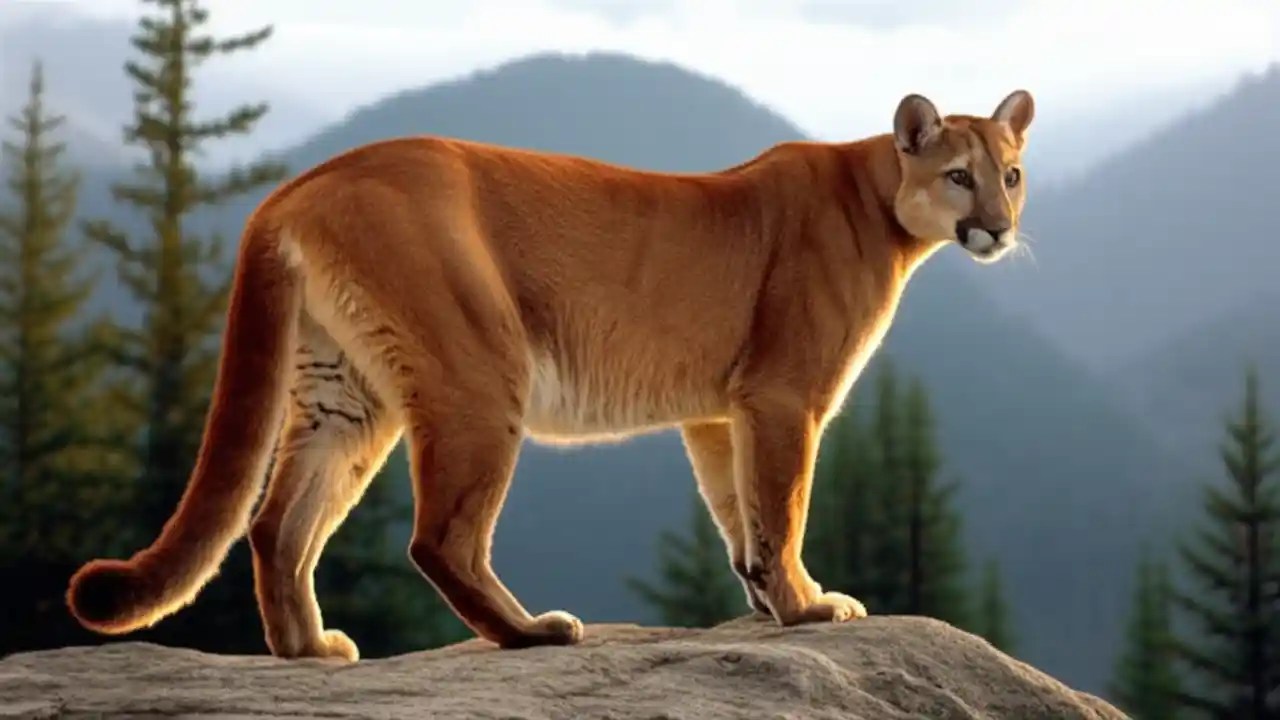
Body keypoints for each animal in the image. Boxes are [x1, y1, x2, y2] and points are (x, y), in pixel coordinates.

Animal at [66, 88, 1034, 660]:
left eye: (1014, 175)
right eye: (960, 176)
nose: (997, 226)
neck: (879, 202)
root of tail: (293, 187)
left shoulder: (720, 412)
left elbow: (741, 516)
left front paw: (769, 602)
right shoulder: (784, 399)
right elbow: (783, 507)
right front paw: (807, 607)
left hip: (346, 391)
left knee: (276, 524)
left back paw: (310, 650)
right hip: (479, 373)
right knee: (438, 538)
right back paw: (532, 631)